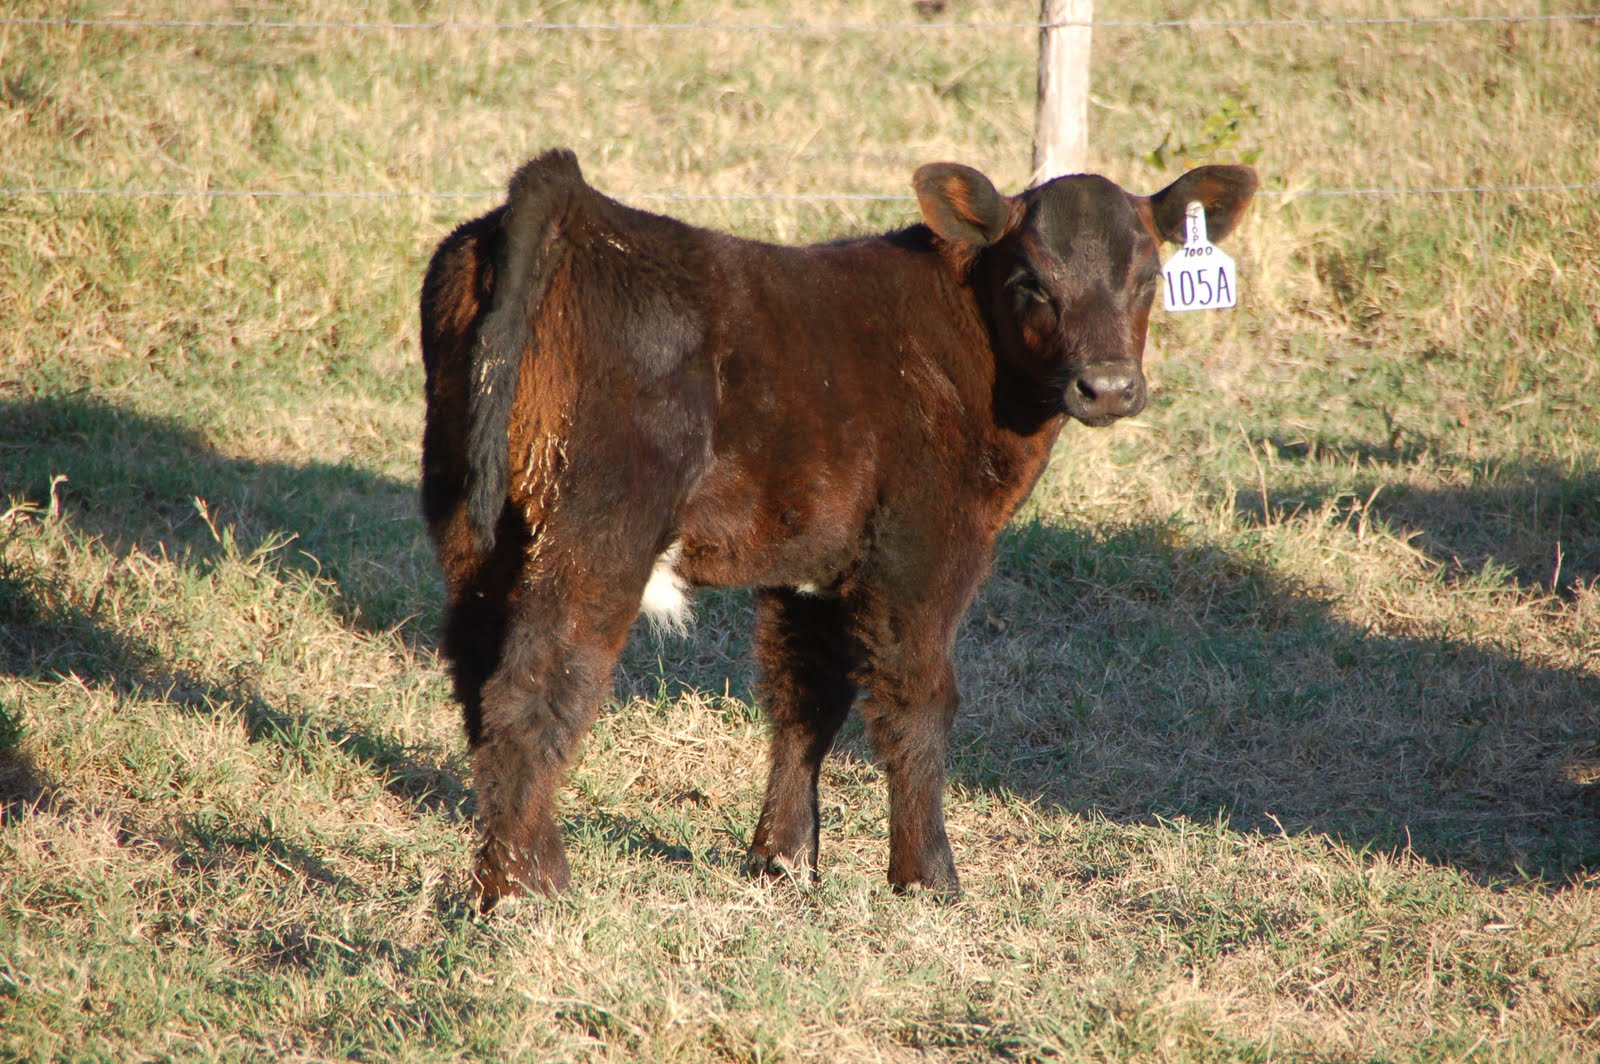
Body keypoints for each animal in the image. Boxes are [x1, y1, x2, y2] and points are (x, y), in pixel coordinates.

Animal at [420, 148, 1255, 910]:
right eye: (1031, 284)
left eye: (1146, 280)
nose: (1108, 387)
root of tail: (575, 204)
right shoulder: (922, 548)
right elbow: (918, 698)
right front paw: (928, 877)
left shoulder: (815, 561)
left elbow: (805, 699)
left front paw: (785, 860)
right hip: (599, 528)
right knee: (535, 686)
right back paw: (528, 888)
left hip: (471, 523)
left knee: (477, 674)